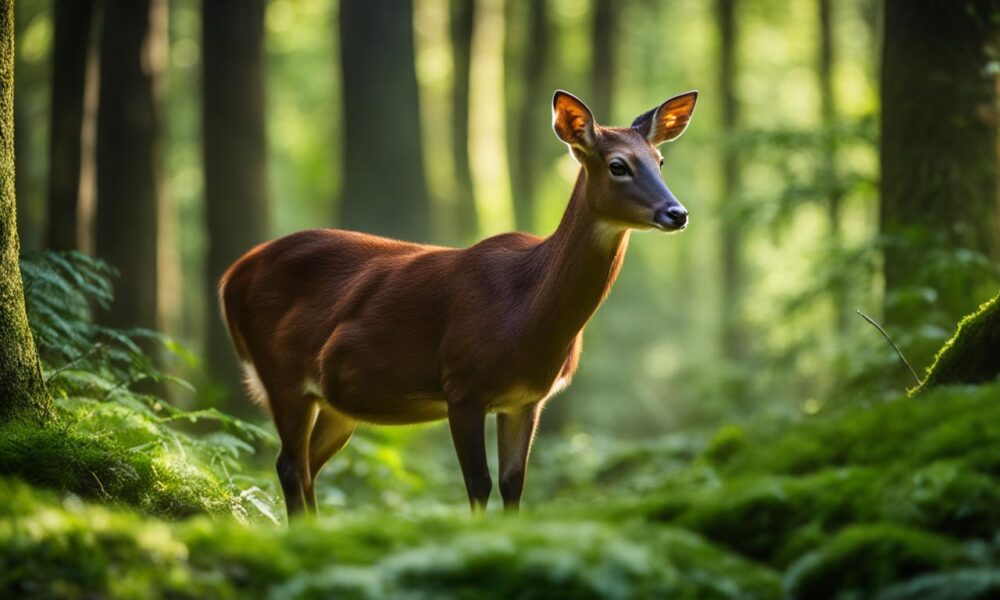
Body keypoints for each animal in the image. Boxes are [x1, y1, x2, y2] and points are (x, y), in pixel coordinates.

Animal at [219, 89, 698, 518]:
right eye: (618, 165)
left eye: (660, 160)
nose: (677, 213)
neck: (526, 312)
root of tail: (229, 278)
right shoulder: (462, 383)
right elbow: (478, 484)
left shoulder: (527, 401)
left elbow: (513, 484)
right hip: (281, 374)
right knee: (289, 464)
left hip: (336, 404)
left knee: (307, 467)